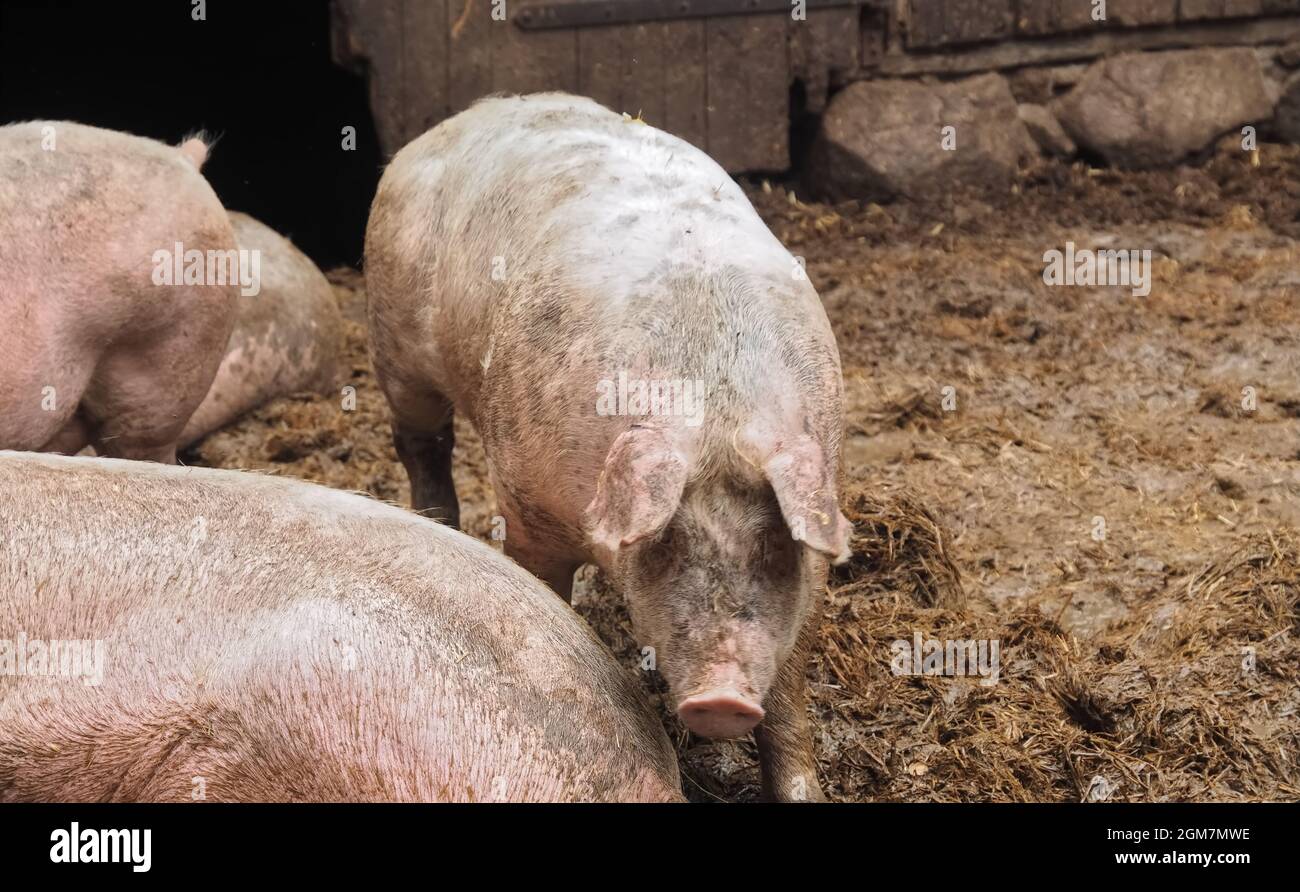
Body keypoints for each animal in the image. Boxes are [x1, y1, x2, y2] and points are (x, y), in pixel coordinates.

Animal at [365, 93, 852, 801]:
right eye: (667, 541)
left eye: (769, 546)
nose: (724, 700)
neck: (717, 411)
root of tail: (455, 122)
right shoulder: (525, 501)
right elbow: (542, 592)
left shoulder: (814, 534)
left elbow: (789, 697)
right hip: (396, 346)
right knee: (422, 443)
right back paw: (436, 522)